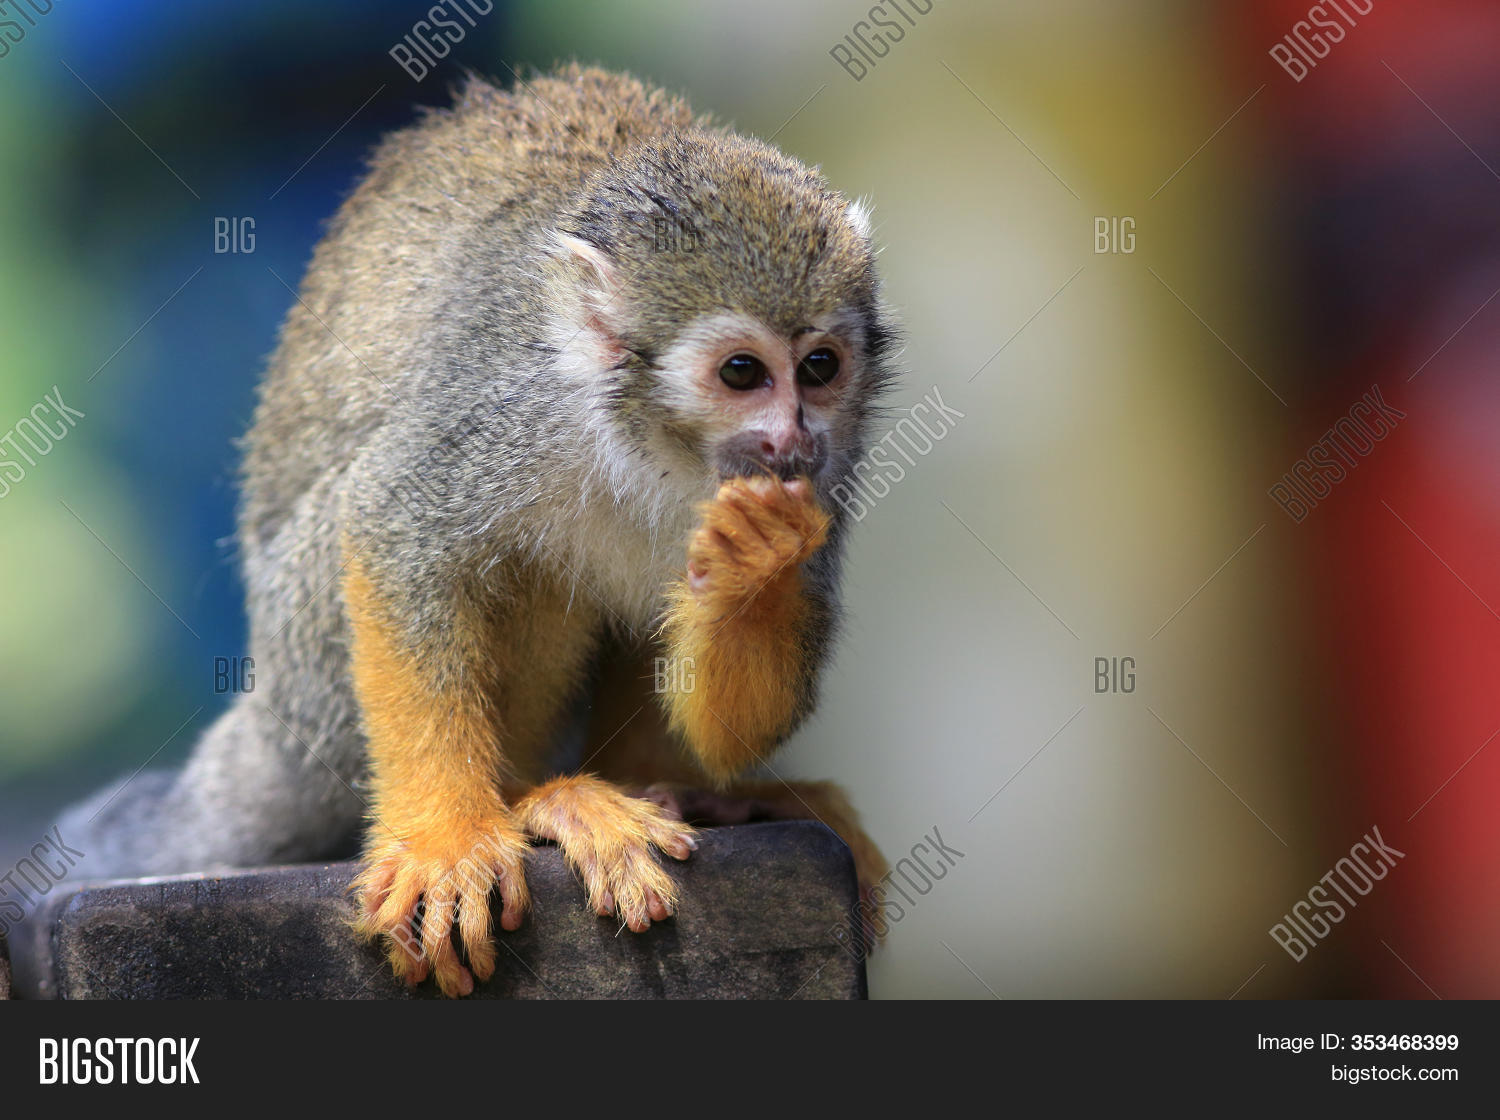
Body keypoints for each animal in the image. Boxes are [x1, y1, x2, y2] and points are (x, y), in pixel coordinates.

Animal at [58, 65, 897, 996]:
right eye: (743, 373)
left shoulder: (834, 476)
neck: (653, 443)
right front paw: (445, 837)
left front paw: (757, 565)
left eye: (820, 368)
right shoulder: (508, 403)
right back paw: (540, 798)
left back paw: (669, 787)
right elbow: (389, 516)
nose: (792, 438)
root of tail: (272, 723)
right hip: (306, 668)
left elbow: (737, 719)